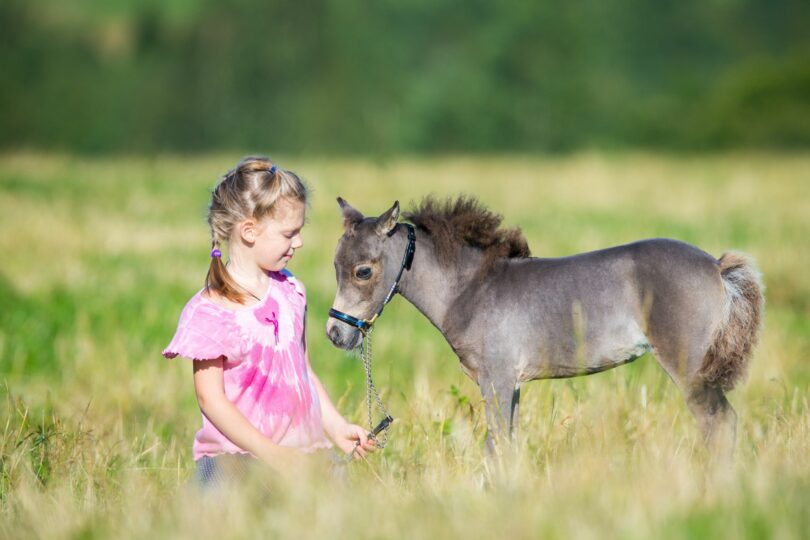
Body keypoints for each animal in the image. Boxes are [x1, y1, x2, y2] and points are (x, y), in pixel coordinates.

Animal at [326, 196, 764, 459]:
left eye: (363, 271)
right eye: (335, 265)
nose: (336, 334)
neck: (472, 288)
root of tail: (716, 265)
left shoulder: (497, 380)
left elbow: (495, 444)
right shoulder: (513, 385)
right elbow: (509, 444)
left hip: (690, 369)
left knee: (719, 424)